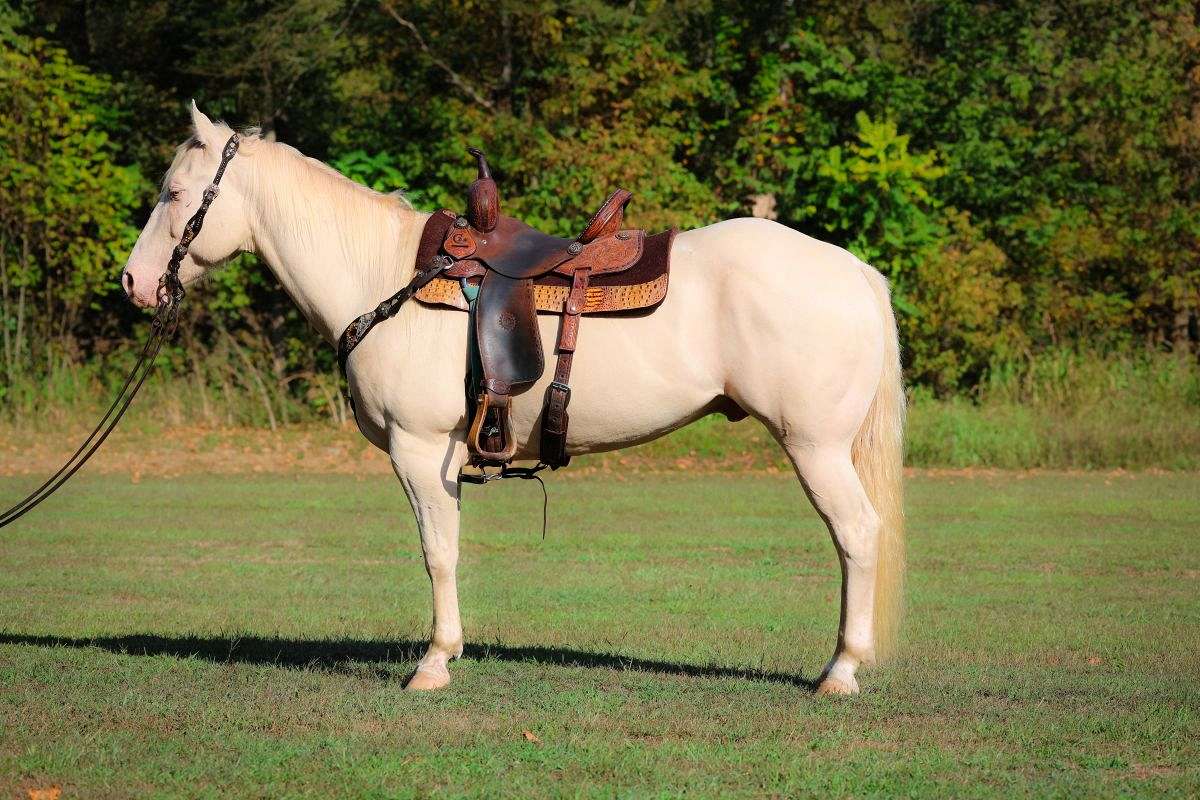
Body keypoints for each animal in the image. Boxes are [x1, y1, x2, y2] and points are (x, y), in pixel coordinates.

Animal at [121, 104, 906, 695]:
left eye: (173, 195)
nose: (133, 283)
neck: (383, 275)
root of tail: (856, 271)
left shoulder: (420, 449)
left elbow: (438, 553)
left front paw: (434, 663)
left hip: (815, 447)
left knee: (857, 534)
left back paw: (840, 671)